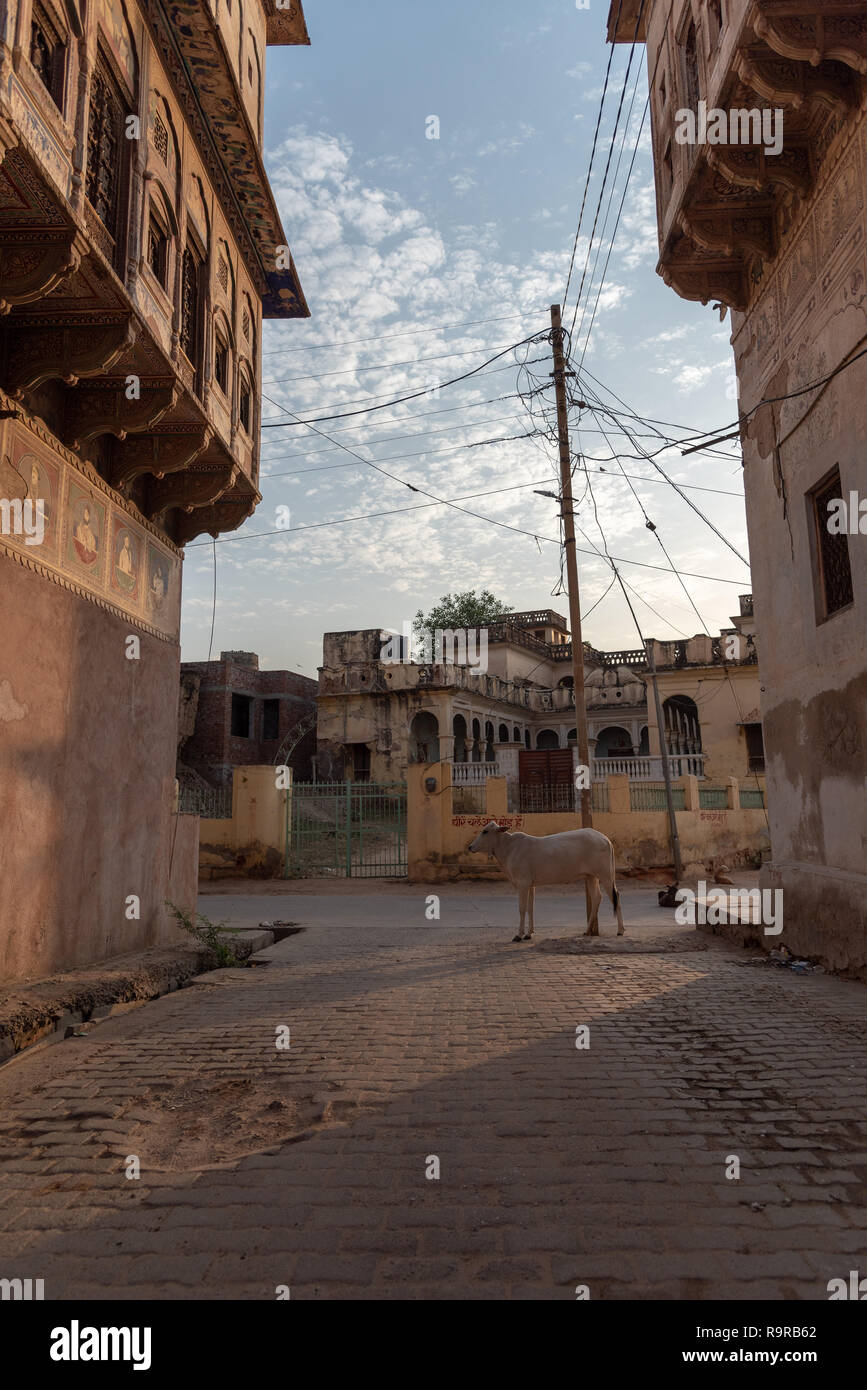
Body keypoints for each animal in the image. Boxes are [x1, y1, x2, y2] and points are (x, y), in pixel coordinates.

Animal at [468, 821, 624, 942]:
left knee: (615, 896)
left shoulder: (523, 884)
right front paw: (529, 933)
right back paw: (587, 931)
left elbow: (522, 909)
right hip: (591, 877)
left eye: (485, 831)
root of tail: (605, 839)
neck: (509, 848)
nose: (470, 847)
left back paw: (620, 930)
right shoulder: (531, 885)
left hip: (605, 875)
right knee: (597, 897)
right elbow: (530, 908)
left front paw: (519, 935)